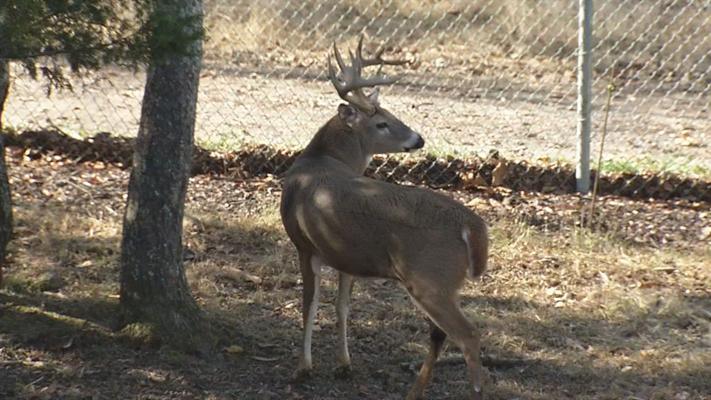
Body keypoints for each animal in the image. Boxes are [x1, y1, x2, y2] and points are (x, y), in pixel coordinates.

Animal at [279, 36, 489, 400]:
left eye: (392, 116)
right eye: (382, 122)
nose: (418, 139)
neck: (319, 159)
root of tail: (471, 225)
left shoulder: (304, 244)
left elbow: (309, 304)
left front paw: (303, 368)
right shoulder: (344, 256)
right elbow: (341, 307)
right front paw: (343, 363)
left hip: (430, 278)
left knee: (468, 335)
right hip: (444, 282)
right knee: (440, 334)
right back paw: (414, 391)